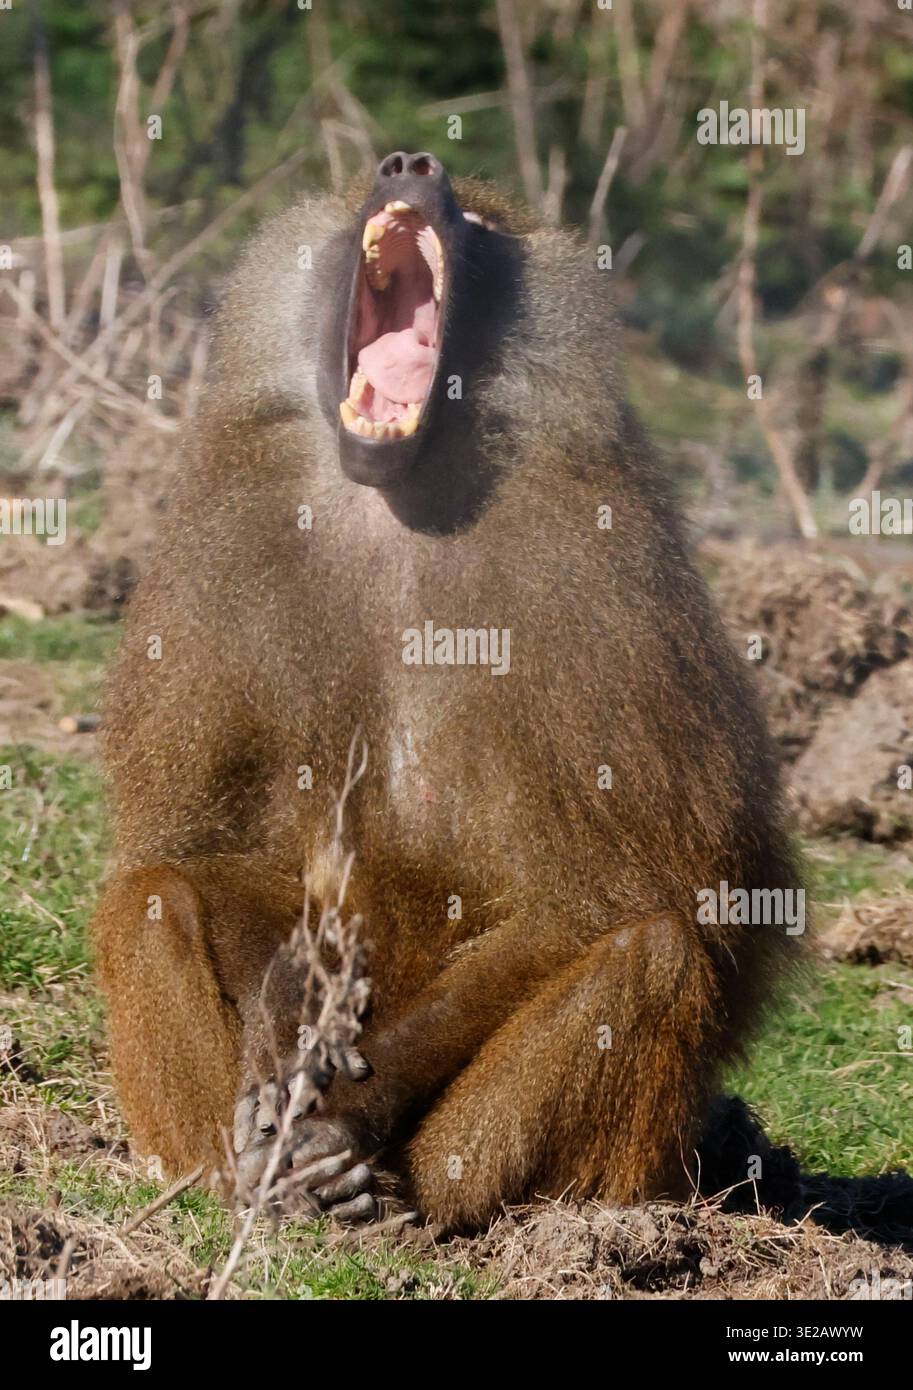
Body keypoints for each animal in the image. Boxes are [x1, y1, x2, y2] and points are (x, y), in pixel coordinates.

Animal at [90, 150, 803, 1231]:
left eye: (478, 223)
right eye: (378, 176)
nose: (411, 163)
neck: (398, 497)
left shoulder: (597, 572)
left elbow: (618, 893)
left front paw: (341, 1113)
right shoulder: (231, 536)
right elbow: (205, 849)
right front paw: (274, 1062)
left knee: (650, 950)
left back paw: (426, 1199)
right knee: (152, 897)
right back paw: (229, 1175)